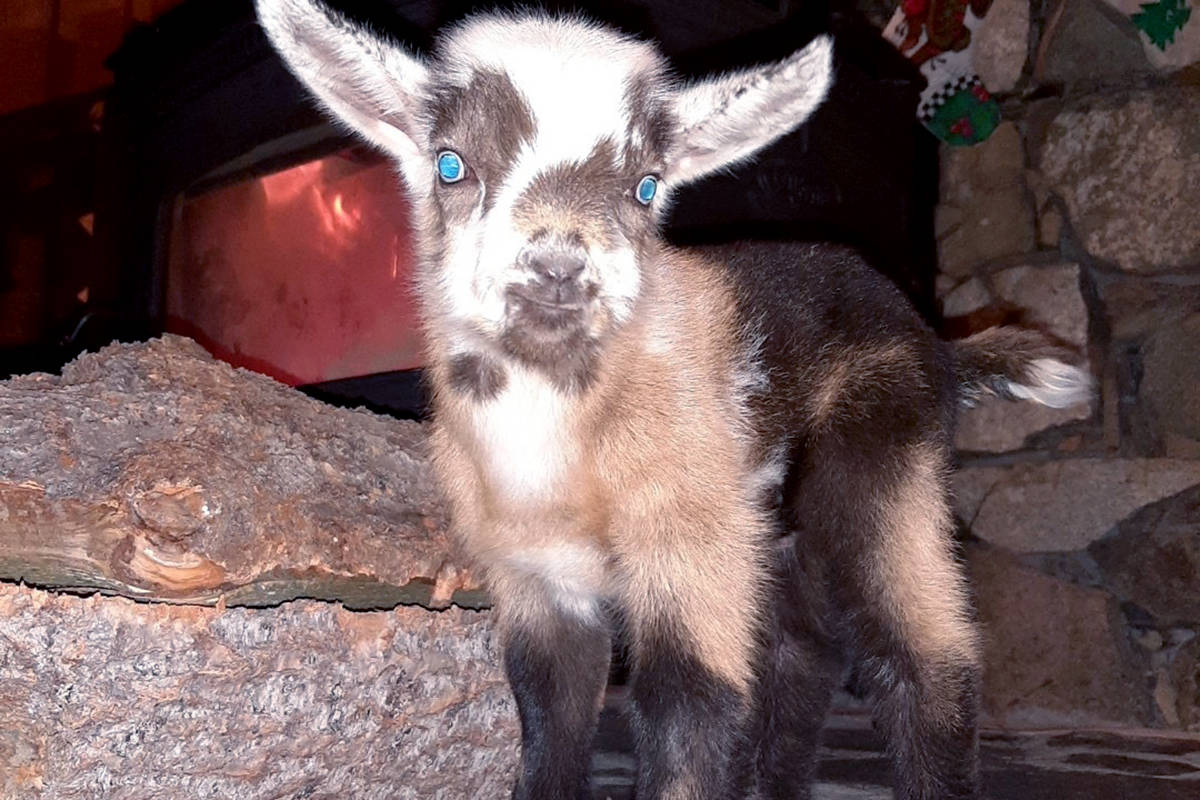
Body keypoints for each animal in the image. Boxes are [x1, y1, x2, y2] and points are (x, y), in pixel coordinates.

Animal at [256, 2, 1092, 798]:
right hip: (772, 535)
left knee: (924, 657)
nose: (557, 266)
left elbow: (689, 709)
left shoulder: (685, 545)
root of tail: (940, 345)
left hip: (881, 456)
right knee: (803, 656)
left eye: (648, 186)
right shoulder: (539, 583)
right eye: (451, 164)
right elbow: (551, 727)